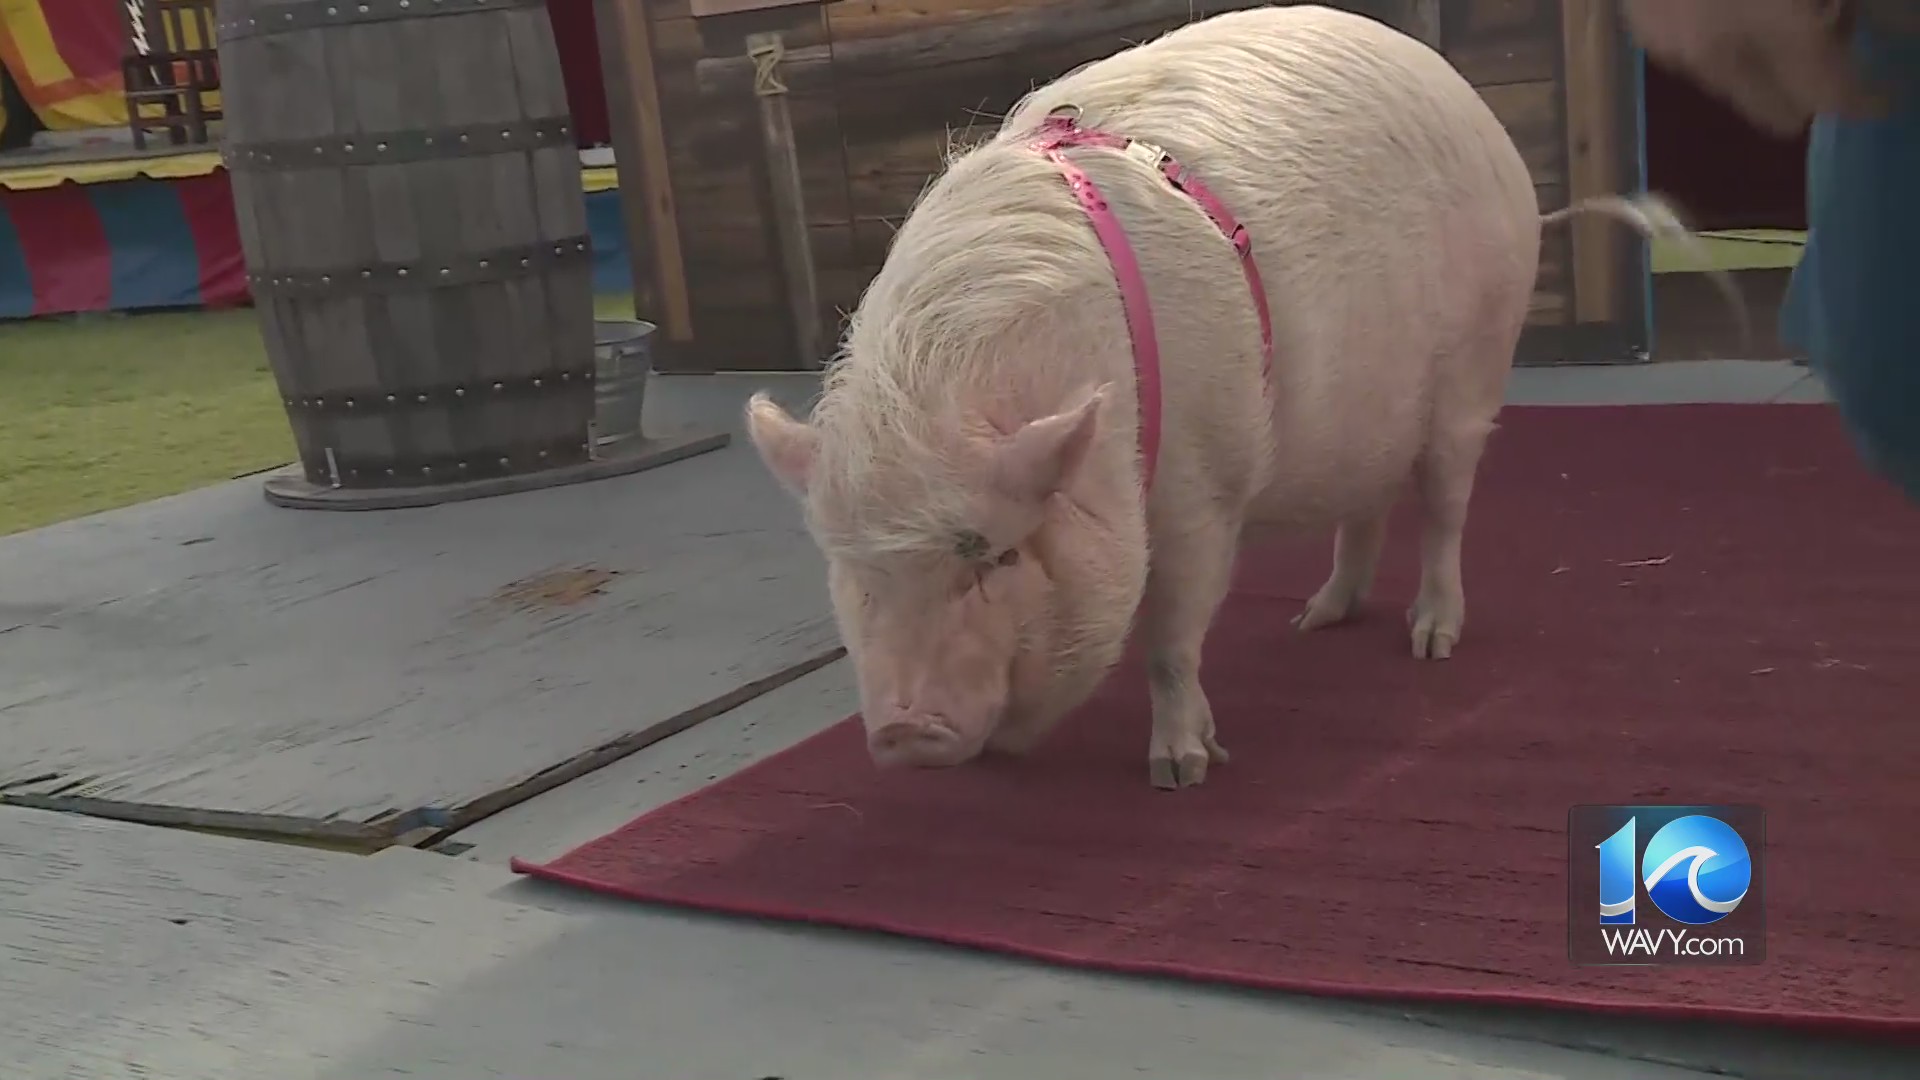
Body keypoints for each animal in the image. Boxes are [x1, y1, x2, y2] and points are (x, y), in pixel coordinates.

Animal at [744, 5, 1712, 789]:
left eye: (1000, 558)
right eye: (859, 576)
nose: (905, 733)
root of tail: (1484, 120)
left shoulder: (1200, 489)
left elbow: (1173, 637)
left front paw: (1181, 771)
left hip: (1476, 362)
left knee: (1444, 506)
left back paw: (1430, 640)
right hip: (1370, 412)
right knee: (1367, 507)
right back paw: (1316, 621)